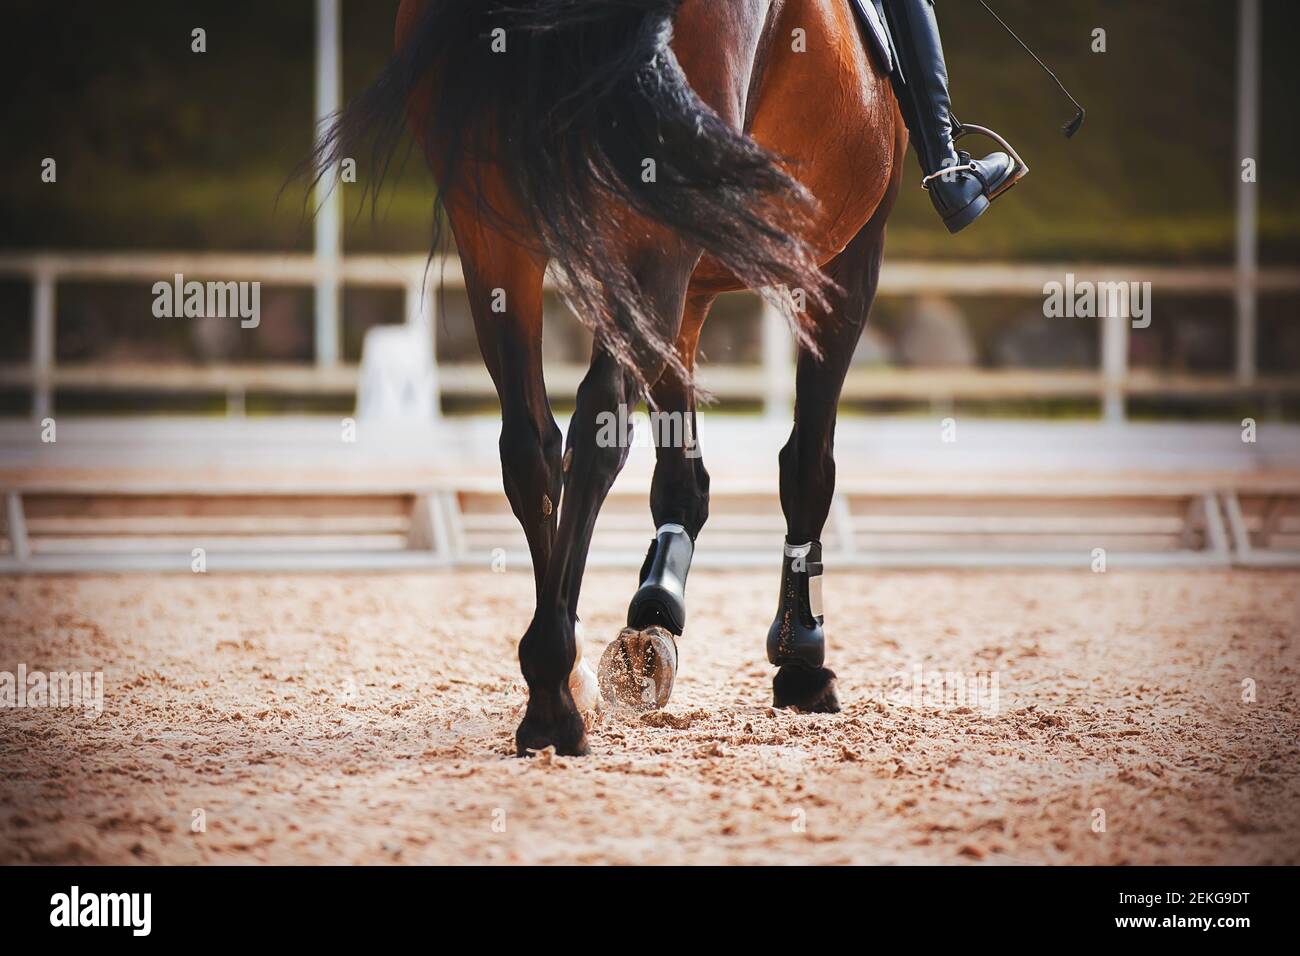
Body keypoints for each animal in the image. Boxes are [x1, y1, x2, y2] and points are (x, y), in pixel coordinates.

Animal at [317, 0, 904, 756]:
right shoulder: (846, 261)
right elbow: (807, 460)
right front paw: (801, 656)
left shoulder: (689, 290)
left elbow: (683, 476)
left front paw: (656, 614)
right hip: (655, 229)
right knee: (601, 427)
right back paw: (556, 699)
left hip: (495, 236)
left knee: (531, 445)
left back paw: (553, 681)